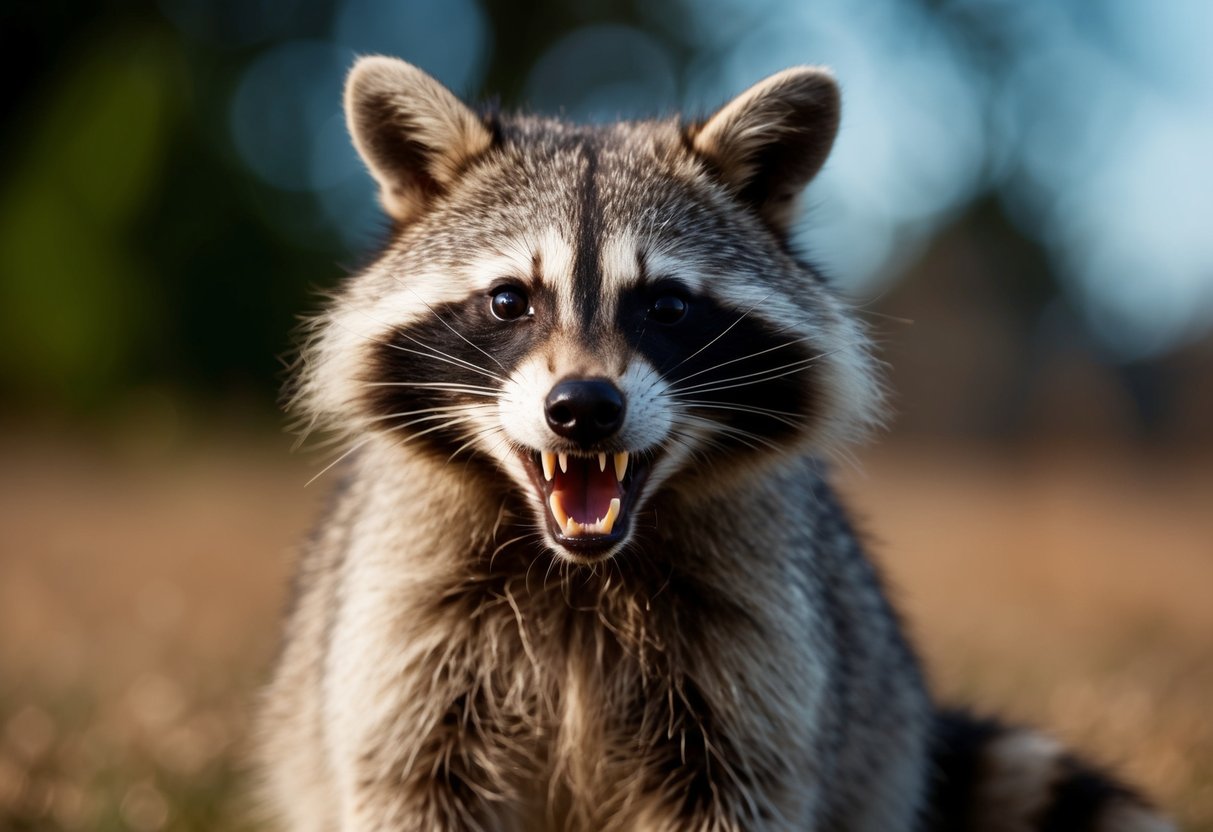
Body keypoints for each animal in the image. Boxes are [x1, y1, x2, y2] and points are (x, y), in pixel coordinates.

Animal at [256, 56, 1174, 832]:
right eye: (510, 300)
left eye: (665, 305)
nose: (582, 409)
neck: (581, 575)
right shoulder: (406, 638)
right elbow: (406, 779)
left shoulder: (755, 657)